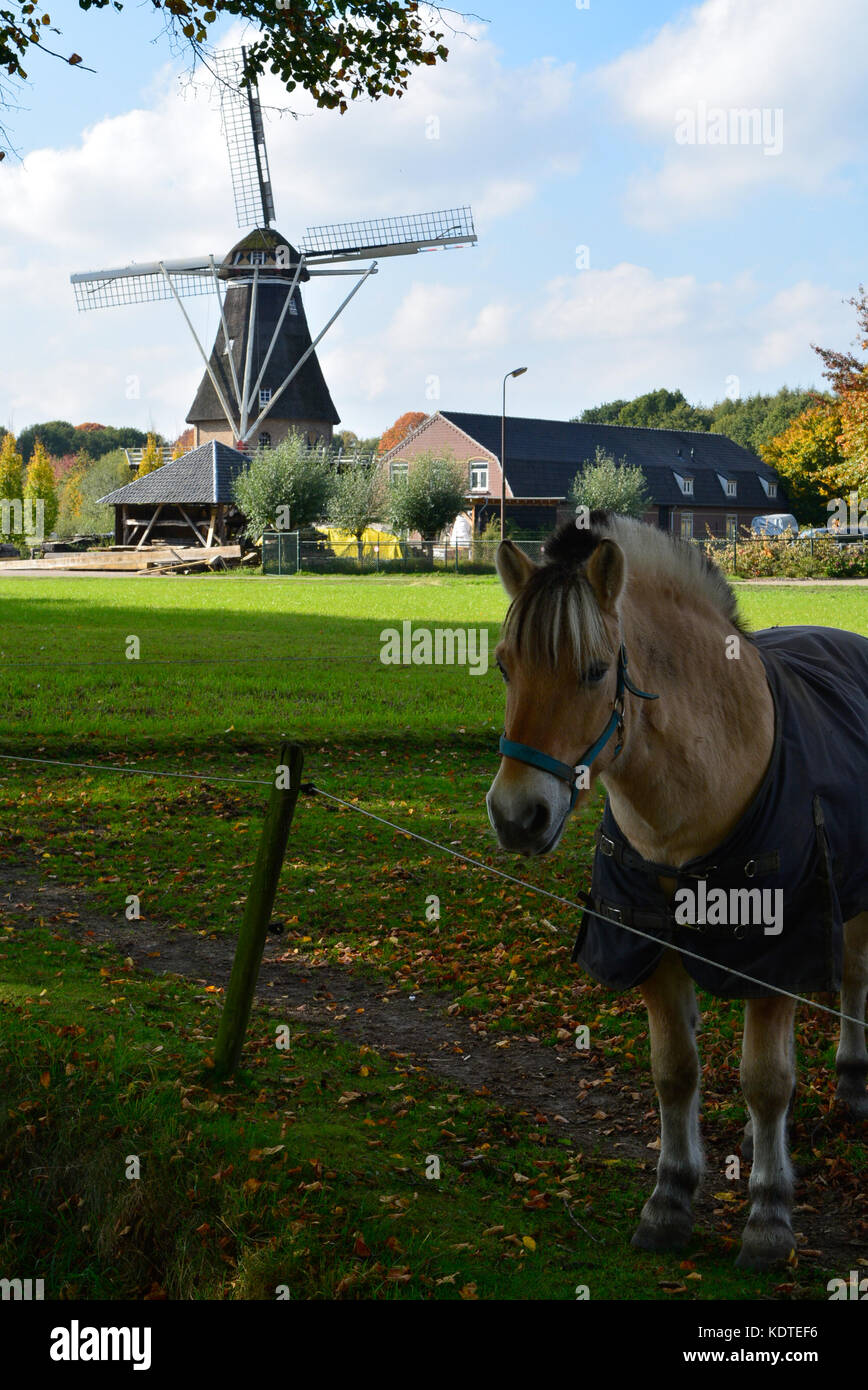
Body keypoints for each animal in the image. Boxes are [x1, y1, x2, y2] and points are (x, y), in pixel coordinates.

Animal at [486, 513, 868, 1270]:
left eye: (595, 670)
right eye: (506, 666)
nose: (517, 816)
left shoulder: (773, 954)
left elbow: (765, 1079)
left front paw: (768, 1216)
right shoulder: (651, 949)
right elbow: (675, 1071)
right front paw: (669, 1199)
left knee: (856, 979)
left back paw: (850, 1083)